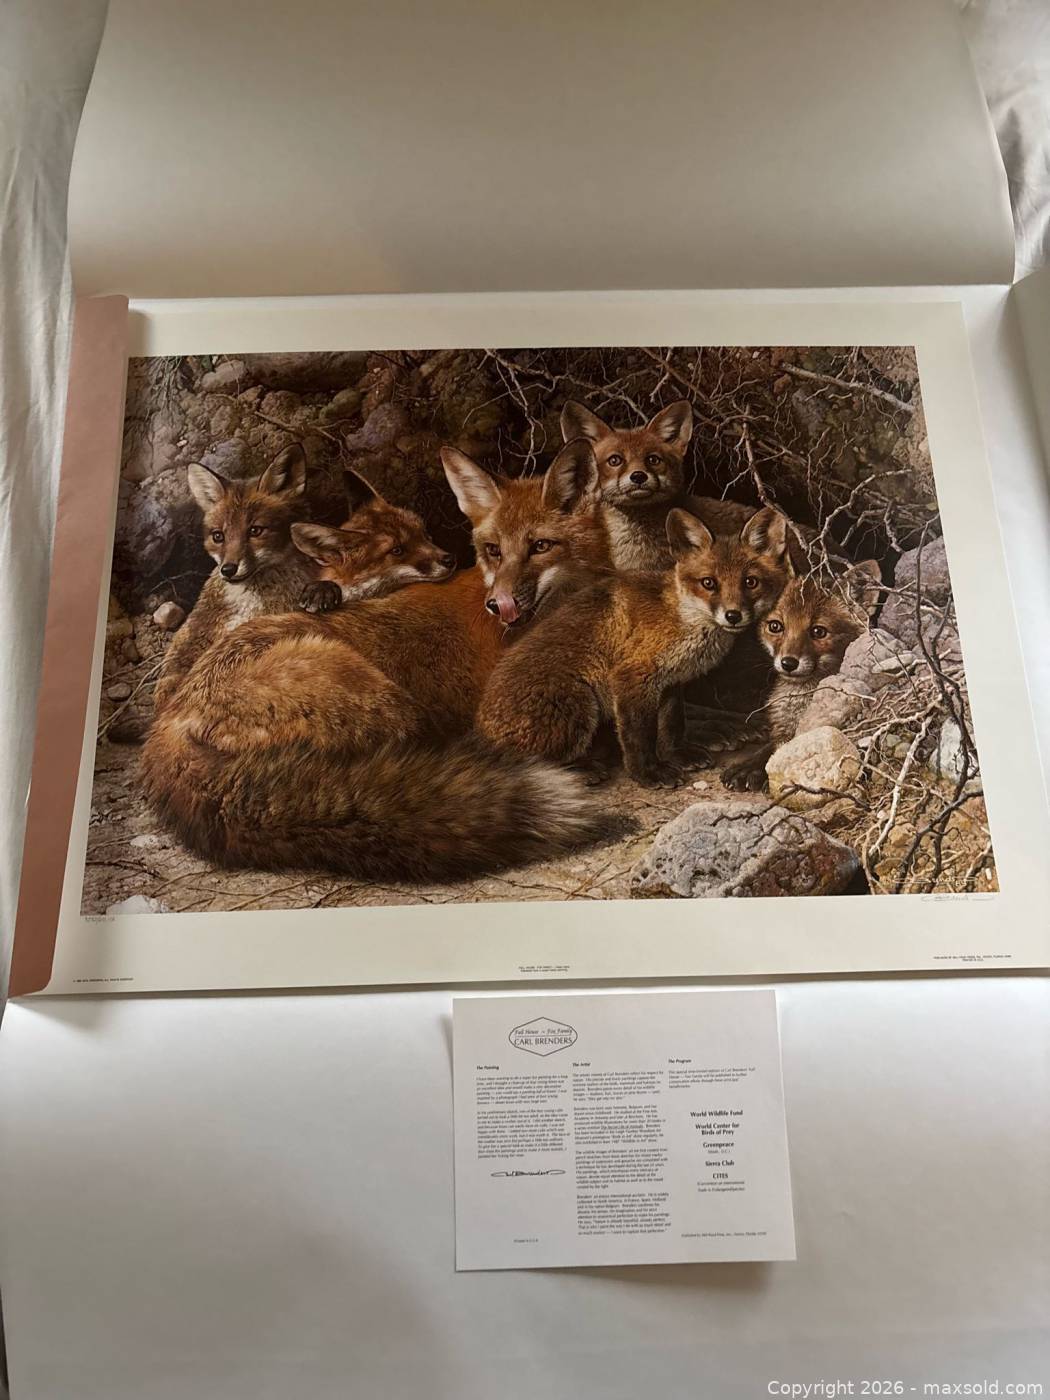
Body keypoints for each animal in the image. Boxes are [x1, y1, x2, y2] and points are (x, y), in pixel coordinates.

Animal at [477, 503, 793, 787]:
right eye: (709, 583)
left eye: (750, 582)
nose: (733, 615)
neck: (679, 617)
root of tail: (477, 728)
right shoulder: (631, 678)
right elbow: (639, 737)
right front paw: (647, 774)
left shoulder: (669, 683)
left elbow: (672, 726)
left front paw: (678, 754)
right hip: (580, 704)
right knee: (532, 764)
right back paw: (581, 770)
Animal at [721, 561, 882, 791]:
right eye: (776, 626)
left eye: (818, 631)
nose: (788, 663)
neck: (800, 701)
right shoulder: (782, 731)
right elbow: (769, 748)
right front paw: (747, 766)